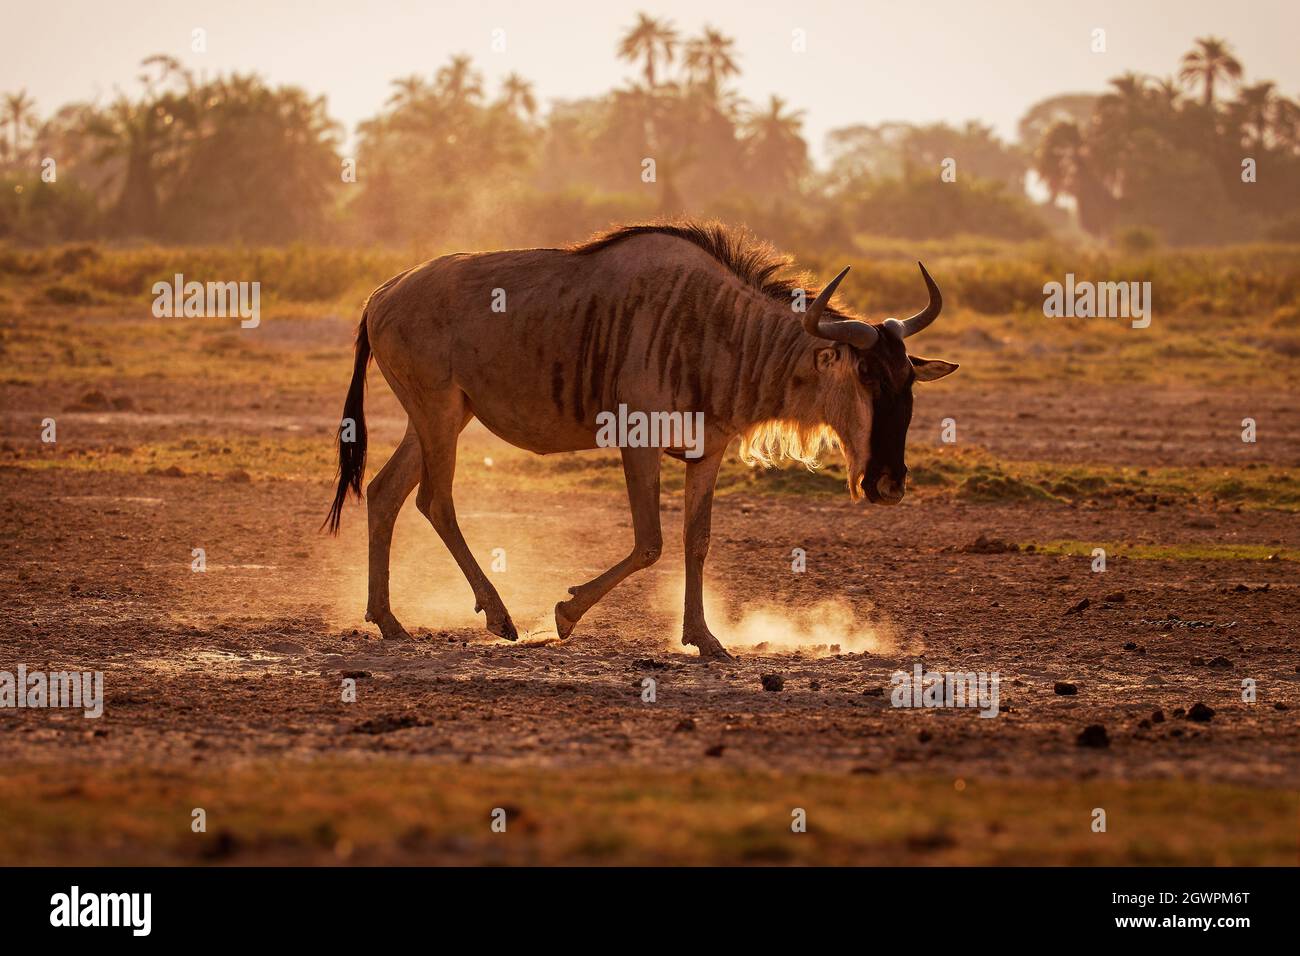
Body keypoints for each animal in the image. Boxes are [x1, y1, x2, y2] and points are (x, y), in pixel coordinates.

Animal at [326, 222, 958, 659]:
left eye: (907, 382)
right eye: (865, 375)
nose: (889, 486)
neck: (720, 332)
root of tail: (381, 293)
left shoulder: (708, 451)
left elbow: (695, 540)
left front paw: (705, 639)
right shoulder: (638, 440)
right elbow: (650, 541)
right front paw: (565, 613)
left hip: (442, 417)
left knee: (384, 492)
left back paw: (388, 621)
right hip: (436, 414)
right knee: (436, 500)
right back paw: (499, 618)